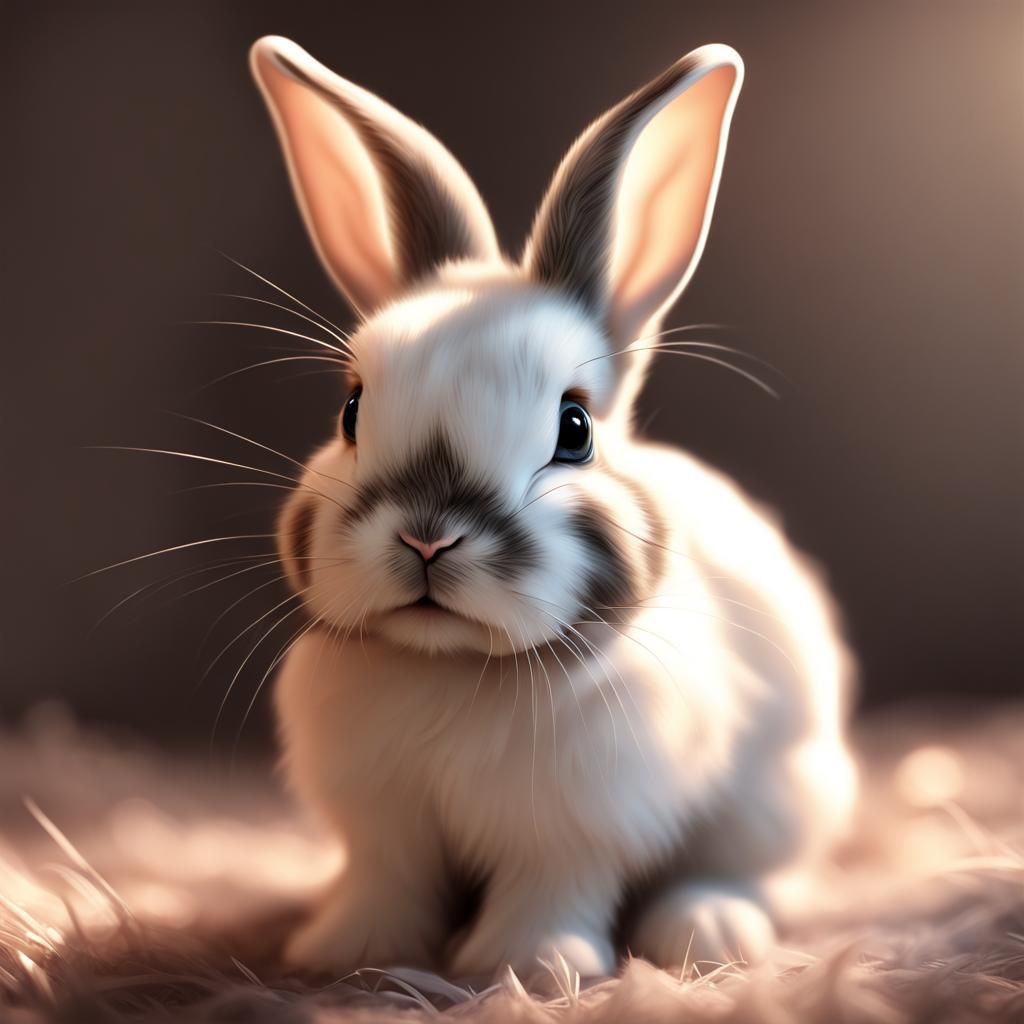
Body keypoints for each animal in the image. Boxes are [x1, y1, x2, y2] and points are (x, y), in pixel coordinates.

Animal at [249, 35, 857, 980]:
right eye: (351, 410)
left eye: (575, 430)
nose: (427, 538)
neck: (457, 670)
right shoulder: (386, 831)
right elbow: (385, 886)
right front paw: (343, 954)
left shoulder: (575, 830)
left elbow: (552, 891)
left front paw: (530, 969)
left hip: (776, 800)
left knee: (744, 873)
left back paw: (707, 930)